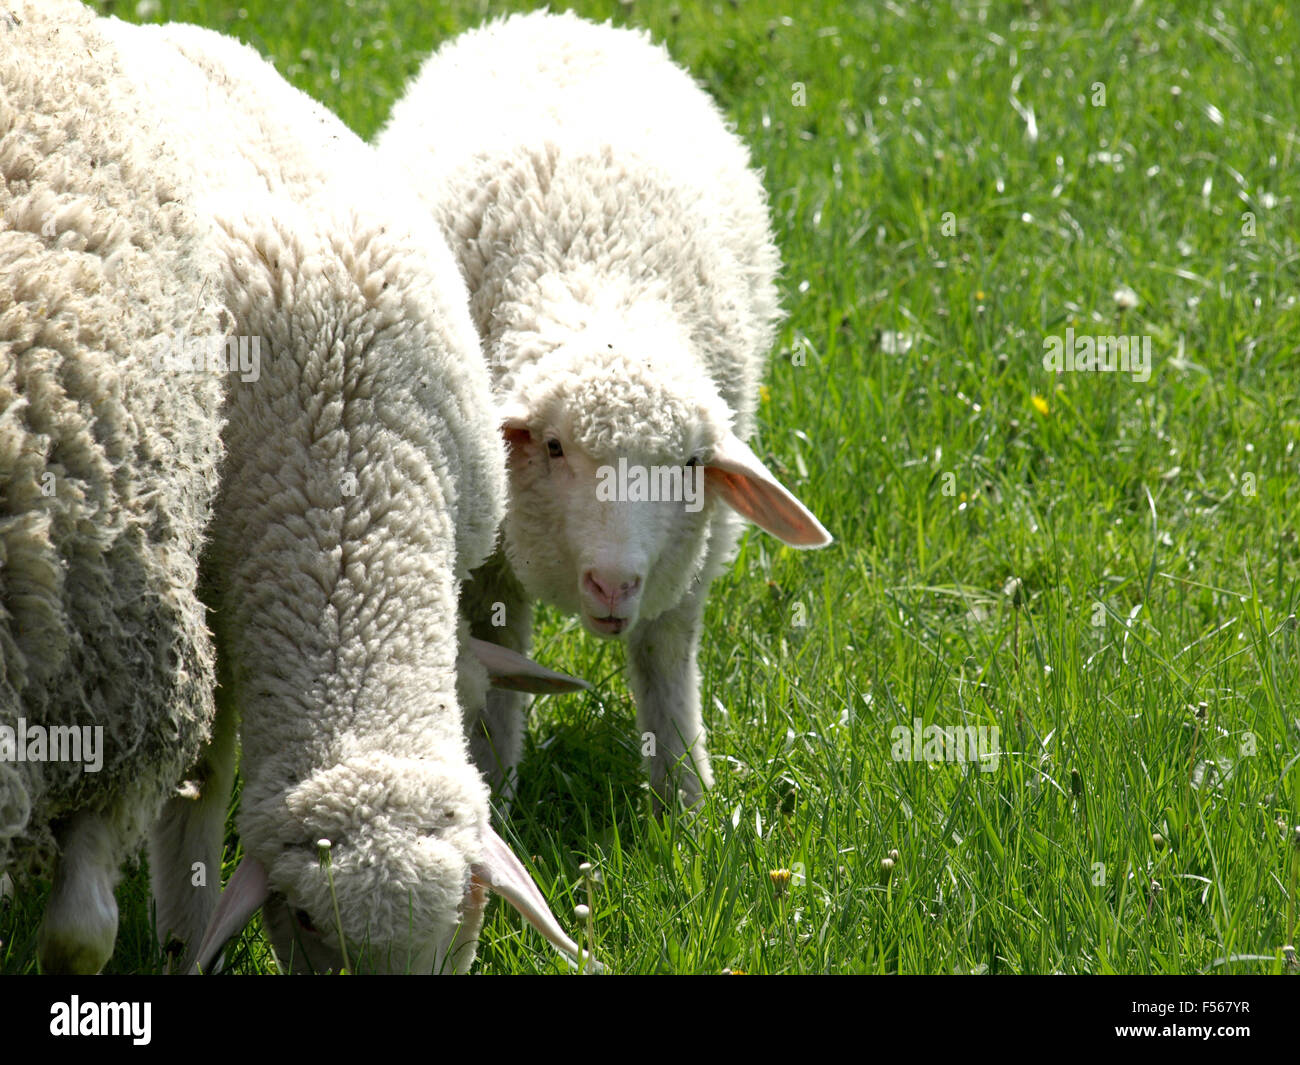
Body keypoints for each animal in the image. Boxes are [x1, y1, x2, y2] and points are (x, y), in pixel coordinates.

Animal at [375, 10, 833, 812]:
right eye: (553, 447)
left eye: (690, 463)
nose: (613, 585)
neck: (599, 291)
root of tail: (555, 19)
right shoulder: (488, 573)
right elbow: (499, 678)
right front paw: (495, 789)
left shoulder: (687, 569)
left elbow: (665, 668)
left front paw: (687, 806)